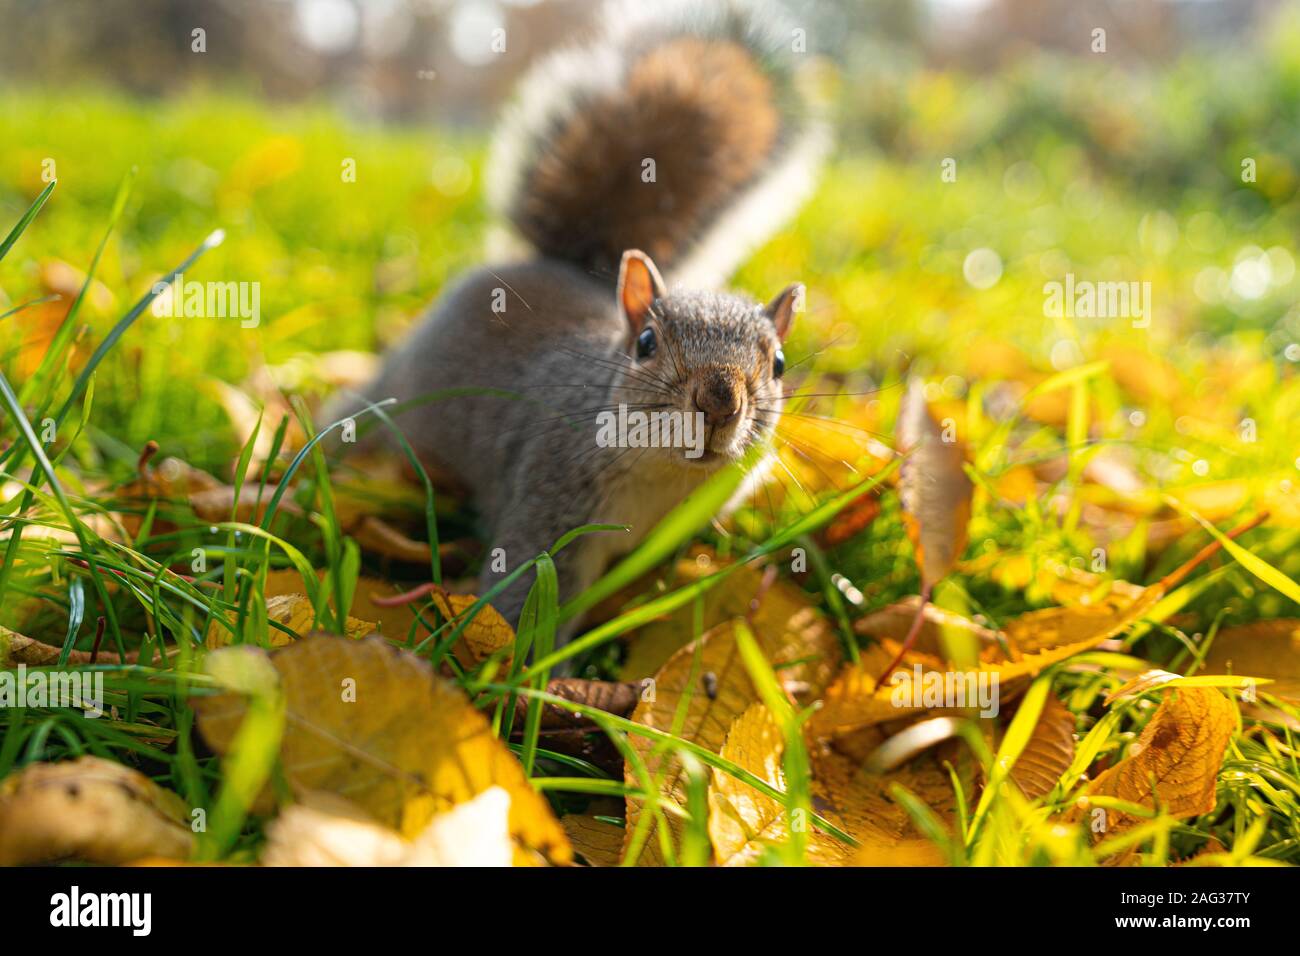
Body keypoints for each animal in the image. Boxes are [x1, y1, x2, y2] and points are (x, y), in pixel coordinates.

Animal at [334, 0, 828, 641]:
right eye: (646, 342)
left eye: (780, 363)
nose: (719, 402)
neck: (664, 477)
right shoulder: (553, 500)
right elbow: (526, 597)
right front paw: (520, 667)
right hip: (396, 396)